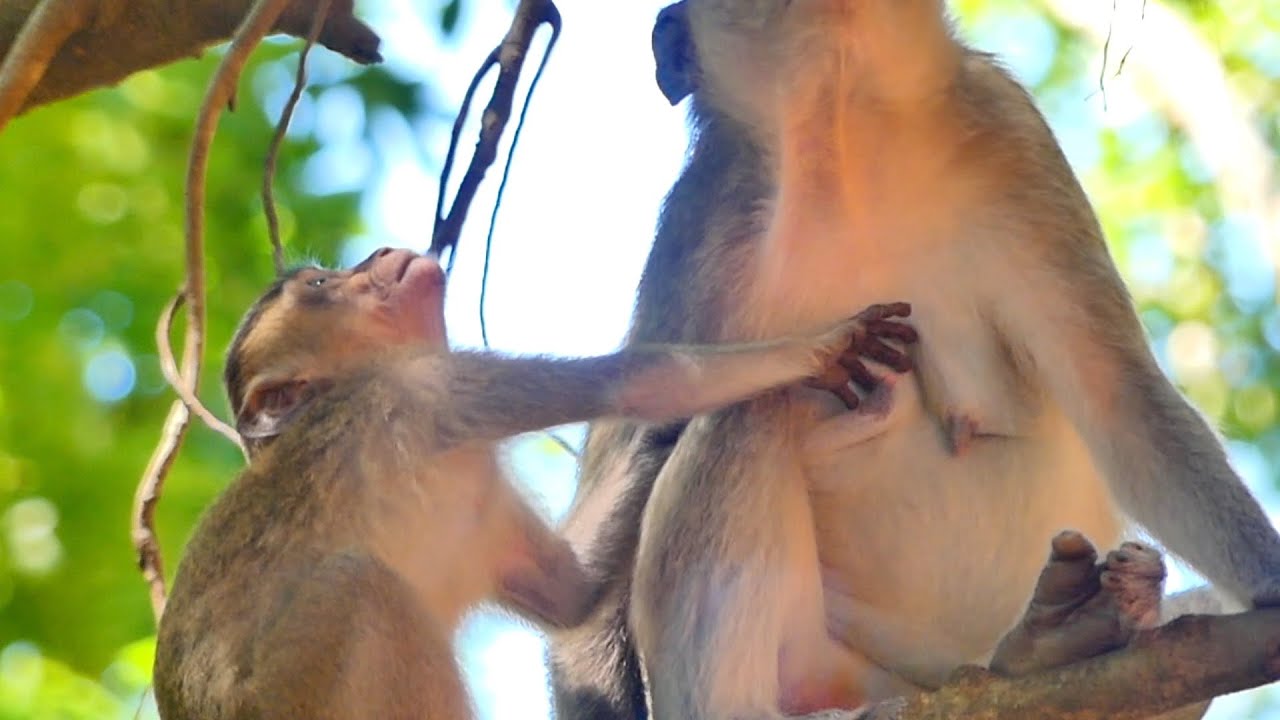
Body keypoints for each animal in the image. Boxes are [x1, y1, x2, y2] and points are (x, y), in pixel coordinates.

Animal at [151, 246, 919, 720]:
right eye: (319, 287)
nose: (376, 257)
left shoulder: (481, 492)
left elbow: (570, 594)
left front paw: (668, 439)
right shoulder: (429, 388)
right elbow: (638, 380)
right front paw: (818, 349)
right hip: (295, 690)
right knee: (362, 590)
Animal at [547, 2, 1280, 719]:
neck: (846, 126)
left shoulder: (1007, 135)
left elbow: (1116, 395)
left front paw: (1267, 580)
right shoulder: (704, 223)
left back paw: (1071, 632)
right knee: (746, 418)